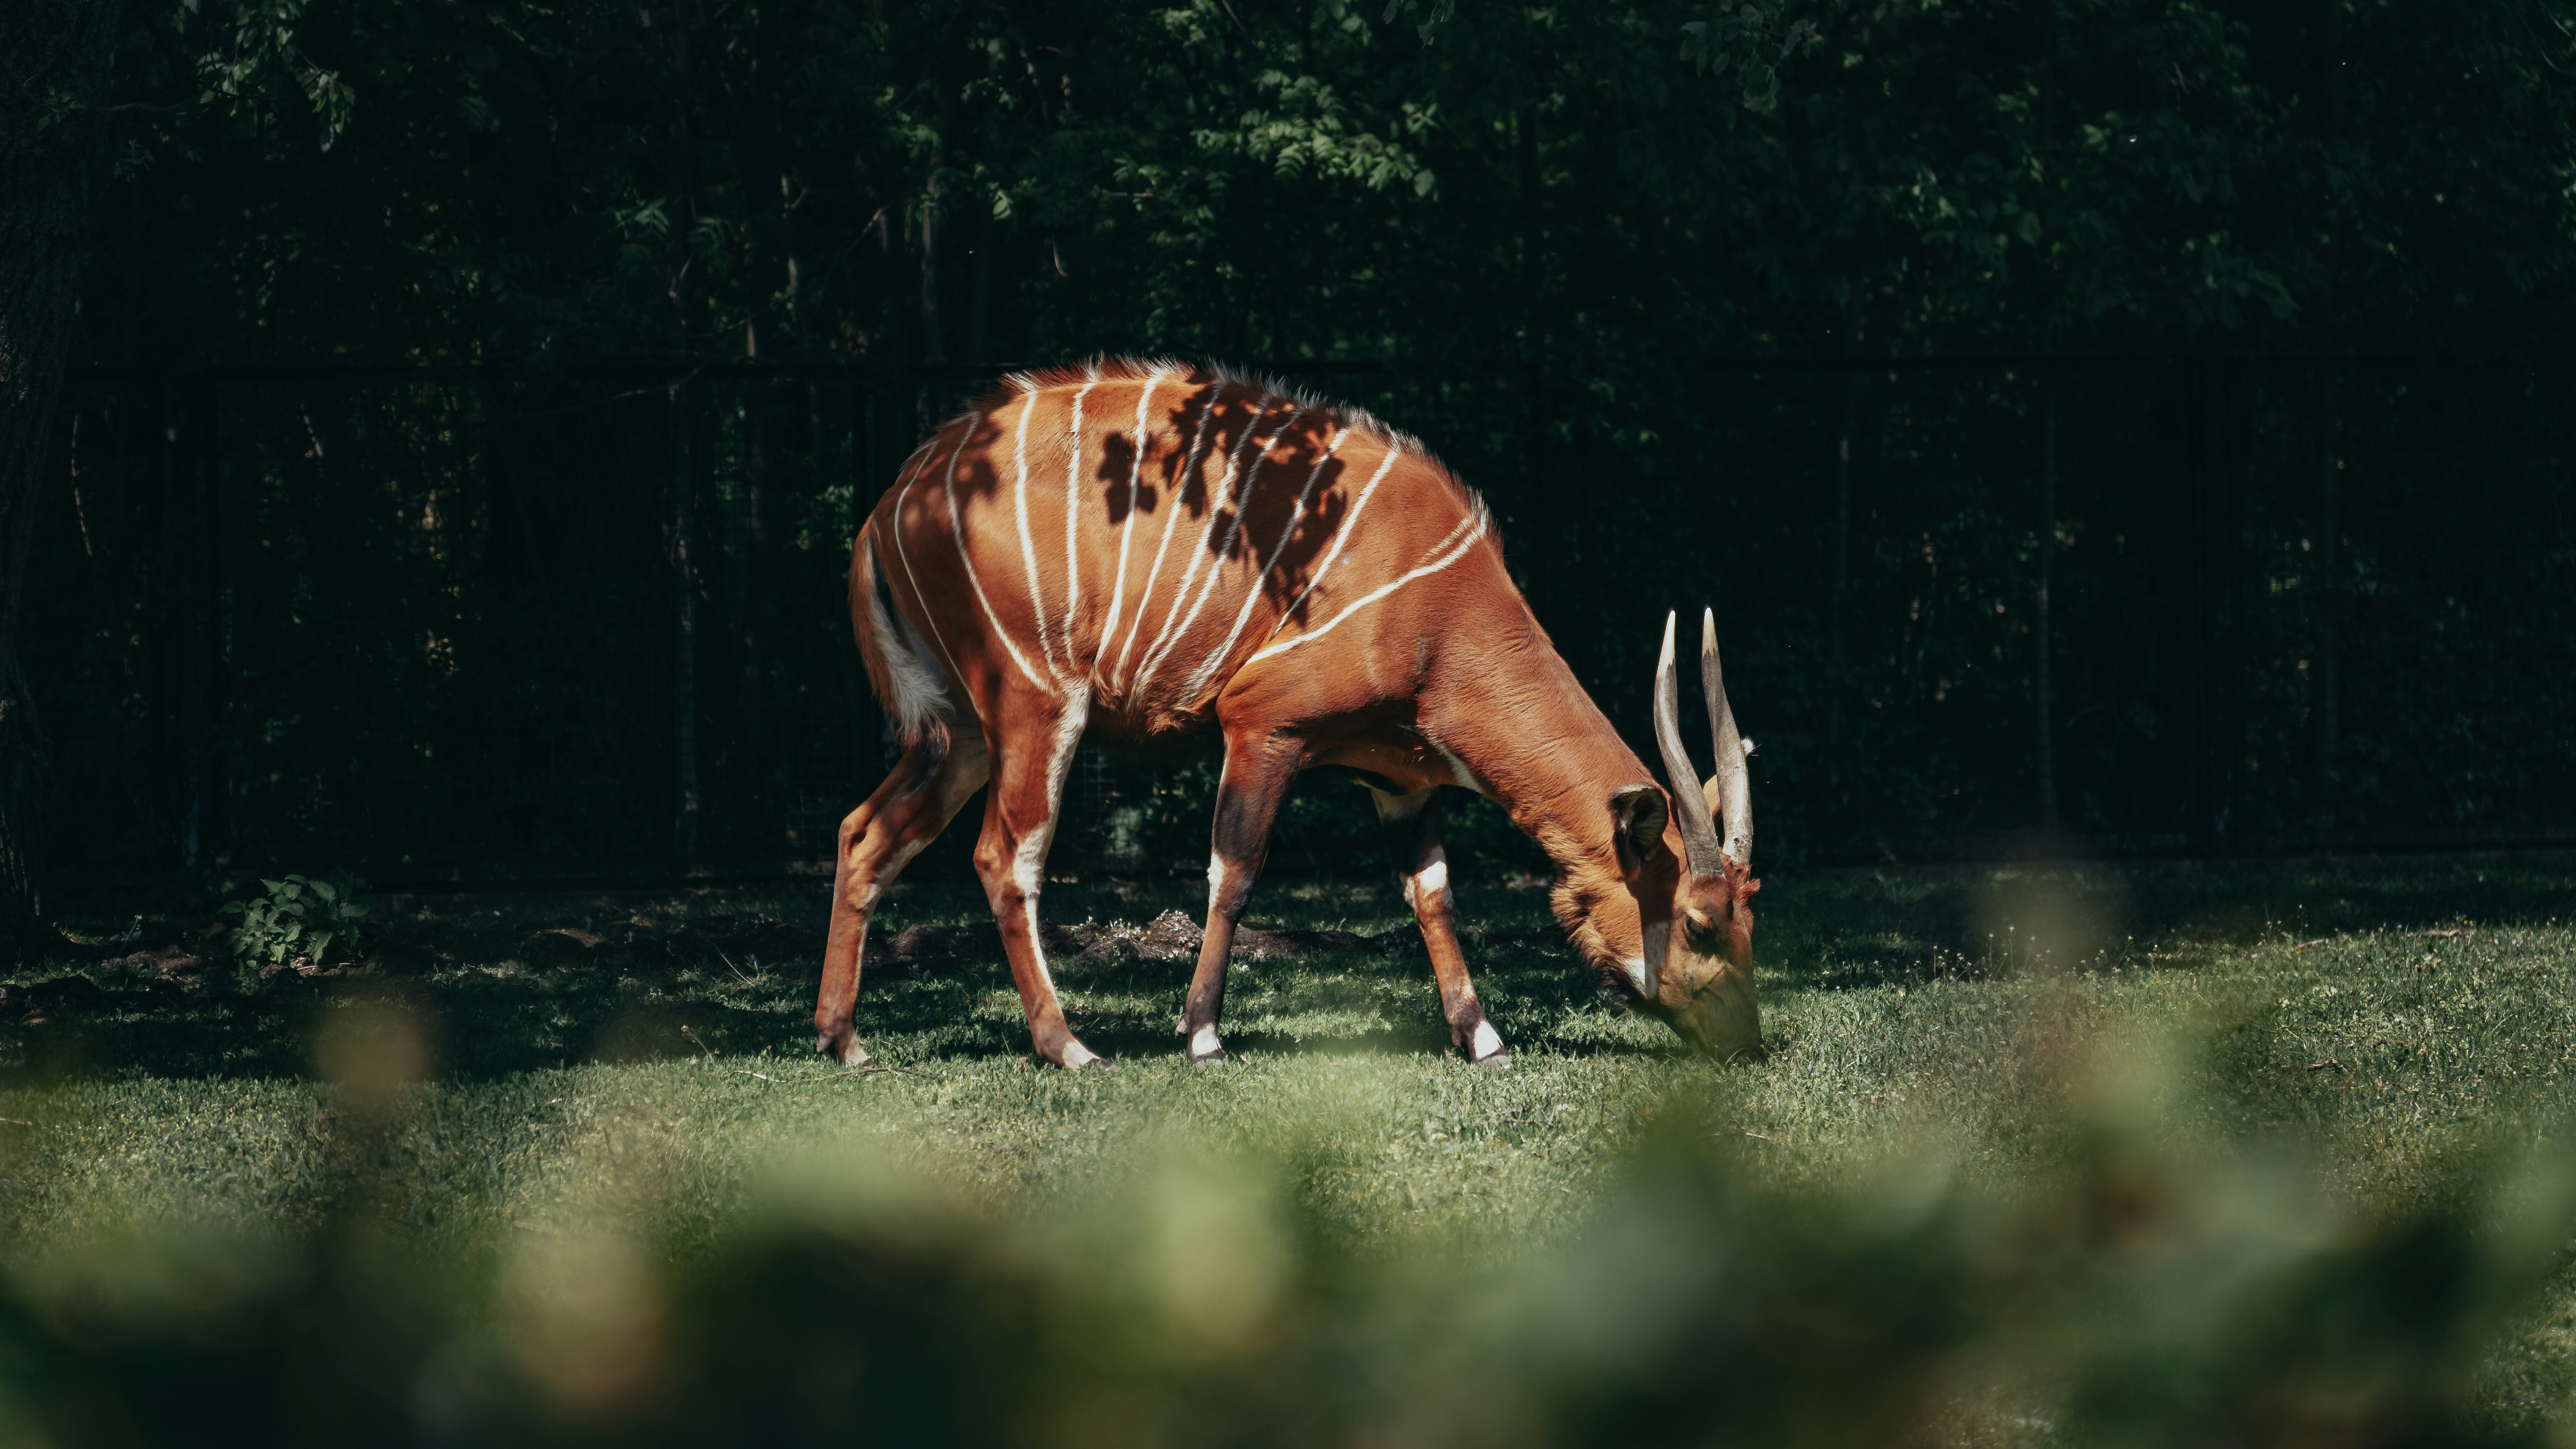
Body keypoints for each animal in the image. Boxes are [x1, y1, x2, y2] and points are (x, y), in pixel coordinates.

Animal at [815, 359, 1760, 1070]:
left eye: (1755, 914)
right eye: (1702, 922)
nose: (1746, 1043)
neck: (1443, 611)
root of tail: (892, 504)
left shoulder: (1400, 780)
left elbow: (1433, 894)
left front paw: (1483, 1038)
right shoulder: (1264, 726)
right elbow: (1233, 872)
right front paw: (1201, 1035)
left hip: (960, 733)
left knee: (864, 833)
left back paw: (845, 1041)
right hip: (1033, 702)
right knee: (1004, 857)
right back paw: (1070, 1046)